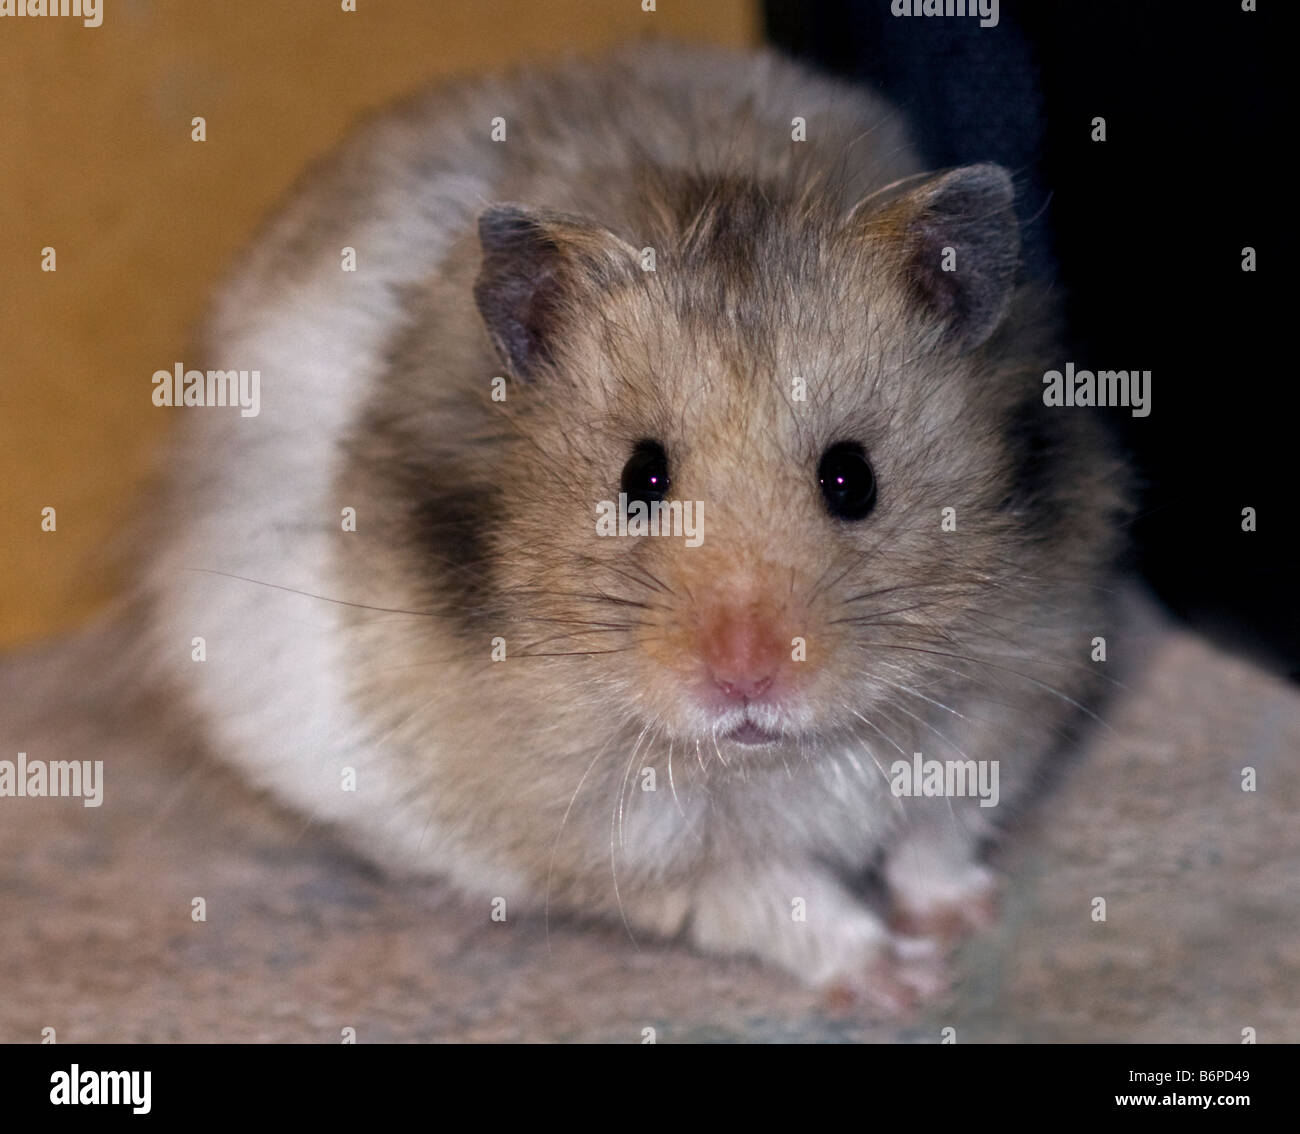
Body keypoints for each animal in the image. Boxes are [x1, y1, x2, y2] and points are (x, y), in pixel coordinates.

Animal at [141, 44, 1129, 1007]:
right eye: (639, 477)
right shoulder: (649, 850)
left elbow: (937, 840)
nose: (745, 680)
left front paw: (962, 926)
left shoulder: (1003, 707)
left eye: (853, 478)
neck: (776, 755)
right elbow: (795, 903)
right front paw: (903, 984)